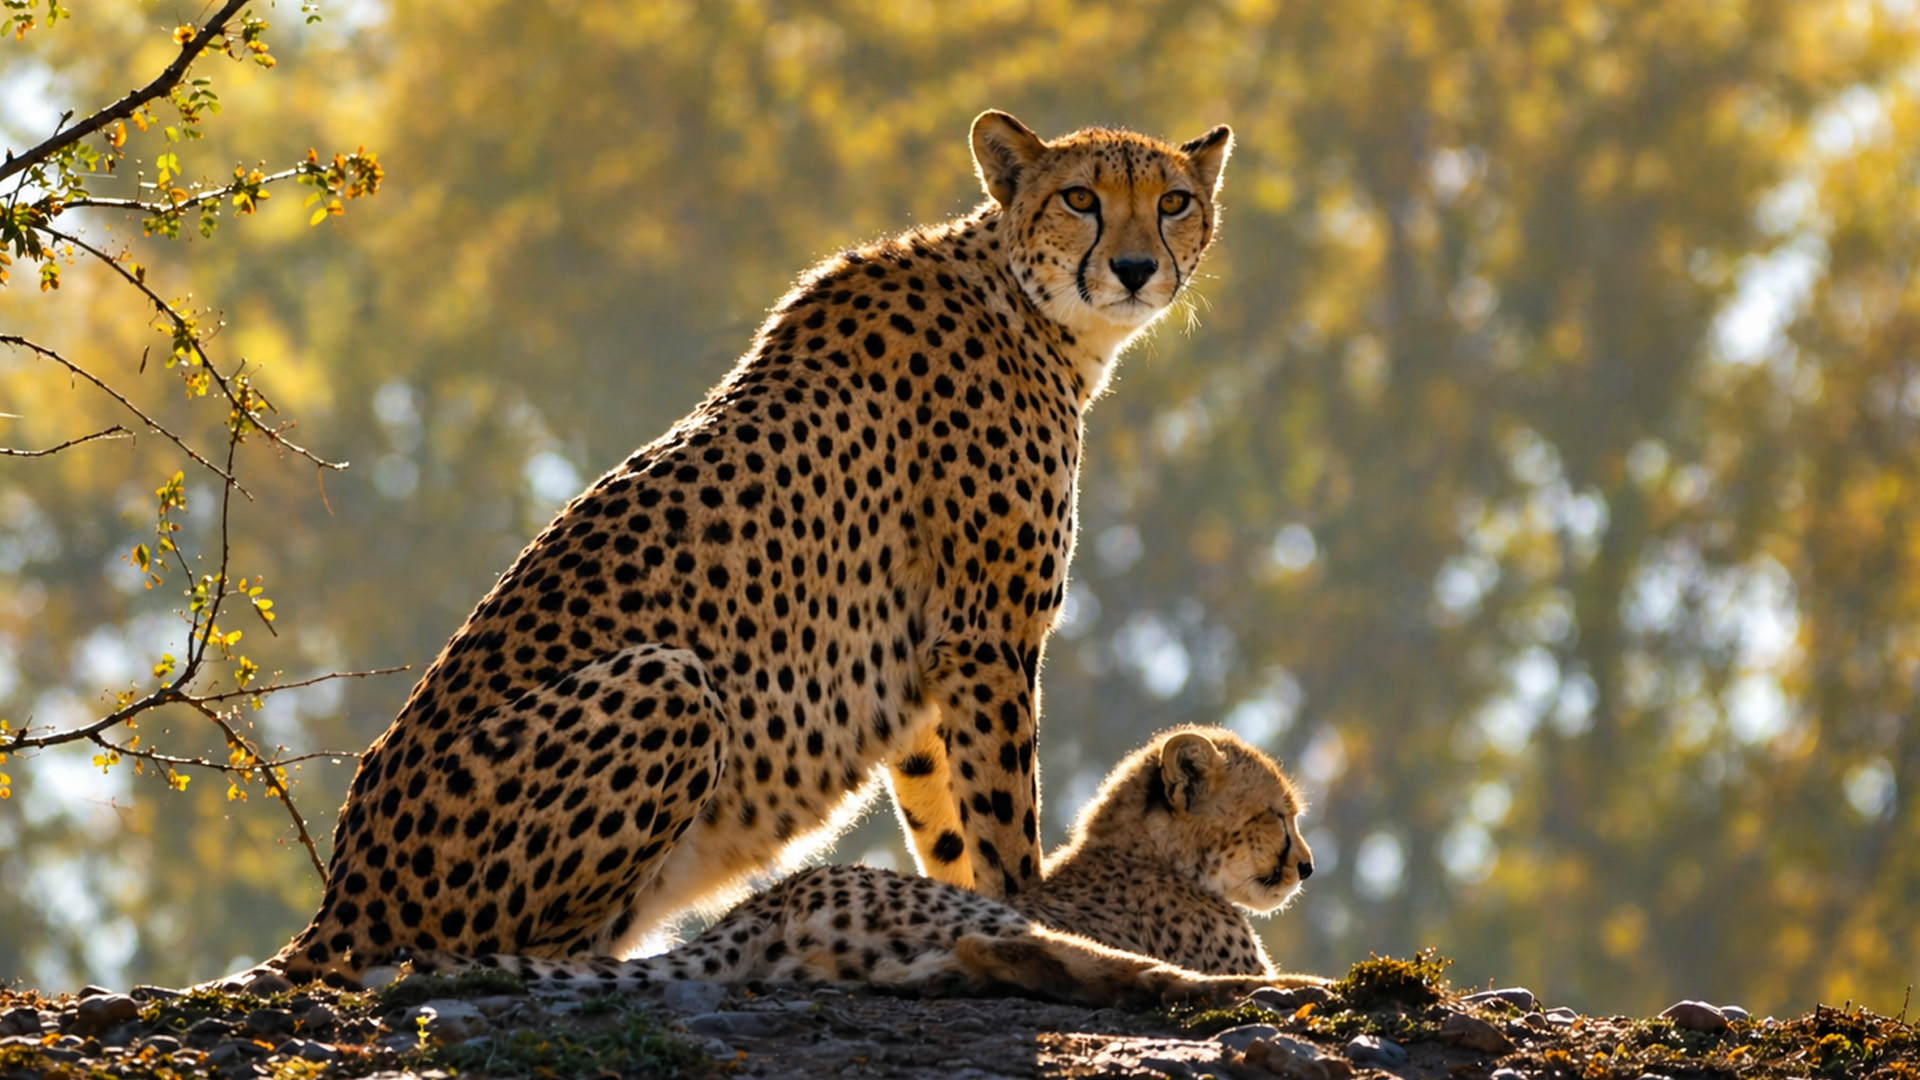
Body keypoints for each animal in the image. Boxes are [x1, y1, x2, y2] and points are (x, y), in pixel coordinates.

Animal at [259, 110, 1235, 988]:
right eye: (1081, 198)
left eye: (1174, 201)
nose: (1137, 268)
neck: (1032, 310)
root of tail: (340, 898)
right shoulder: (985, 634)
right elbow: (1002, 822)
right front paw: (1031, 916)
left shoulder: (925, 673)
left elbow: (948, 826)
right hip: (671, 681)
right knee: (508, 952)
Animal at [393, 726, 1324, 1007]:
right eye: (1273, 819)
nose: (1308, 867)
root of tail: (763, 904)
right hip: (964, 911)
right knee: (1010, 946)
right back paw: (1269, 987)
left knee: (950, 968)